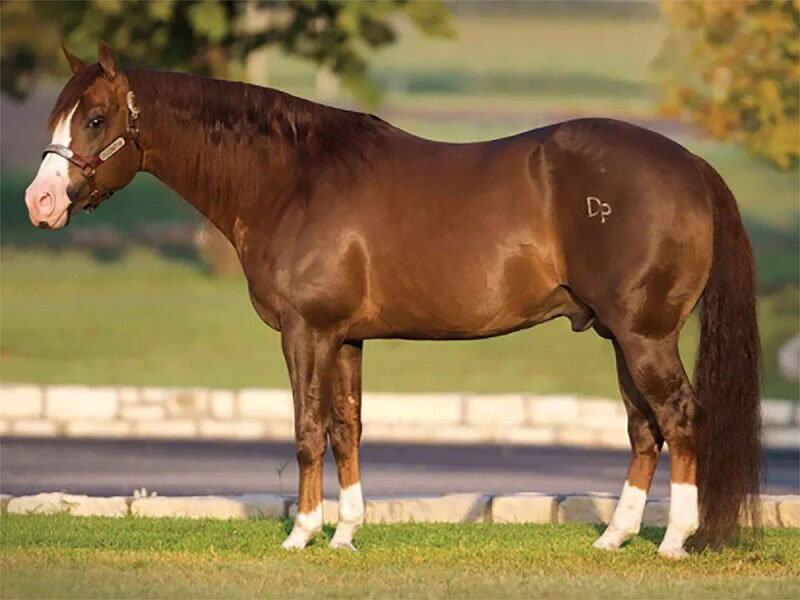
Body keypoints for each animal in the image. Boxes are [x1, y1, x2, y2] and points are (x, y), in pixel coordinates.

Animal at [25, 43, 762, 557]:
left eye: (96, 118)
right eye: (58, 117)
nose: (40, 202)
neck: (292, 180)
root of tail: (690, 166)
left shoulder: (306, 331)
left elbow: (307, 430)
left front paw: (301, 535)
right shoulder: (346, 336)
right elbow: (346, 428)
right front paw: (347, 534)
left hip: (645, 336)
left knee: (681, 418)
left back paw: (674, 542)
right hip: (621, 335)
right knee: (645, 428)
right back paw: (613, 538)